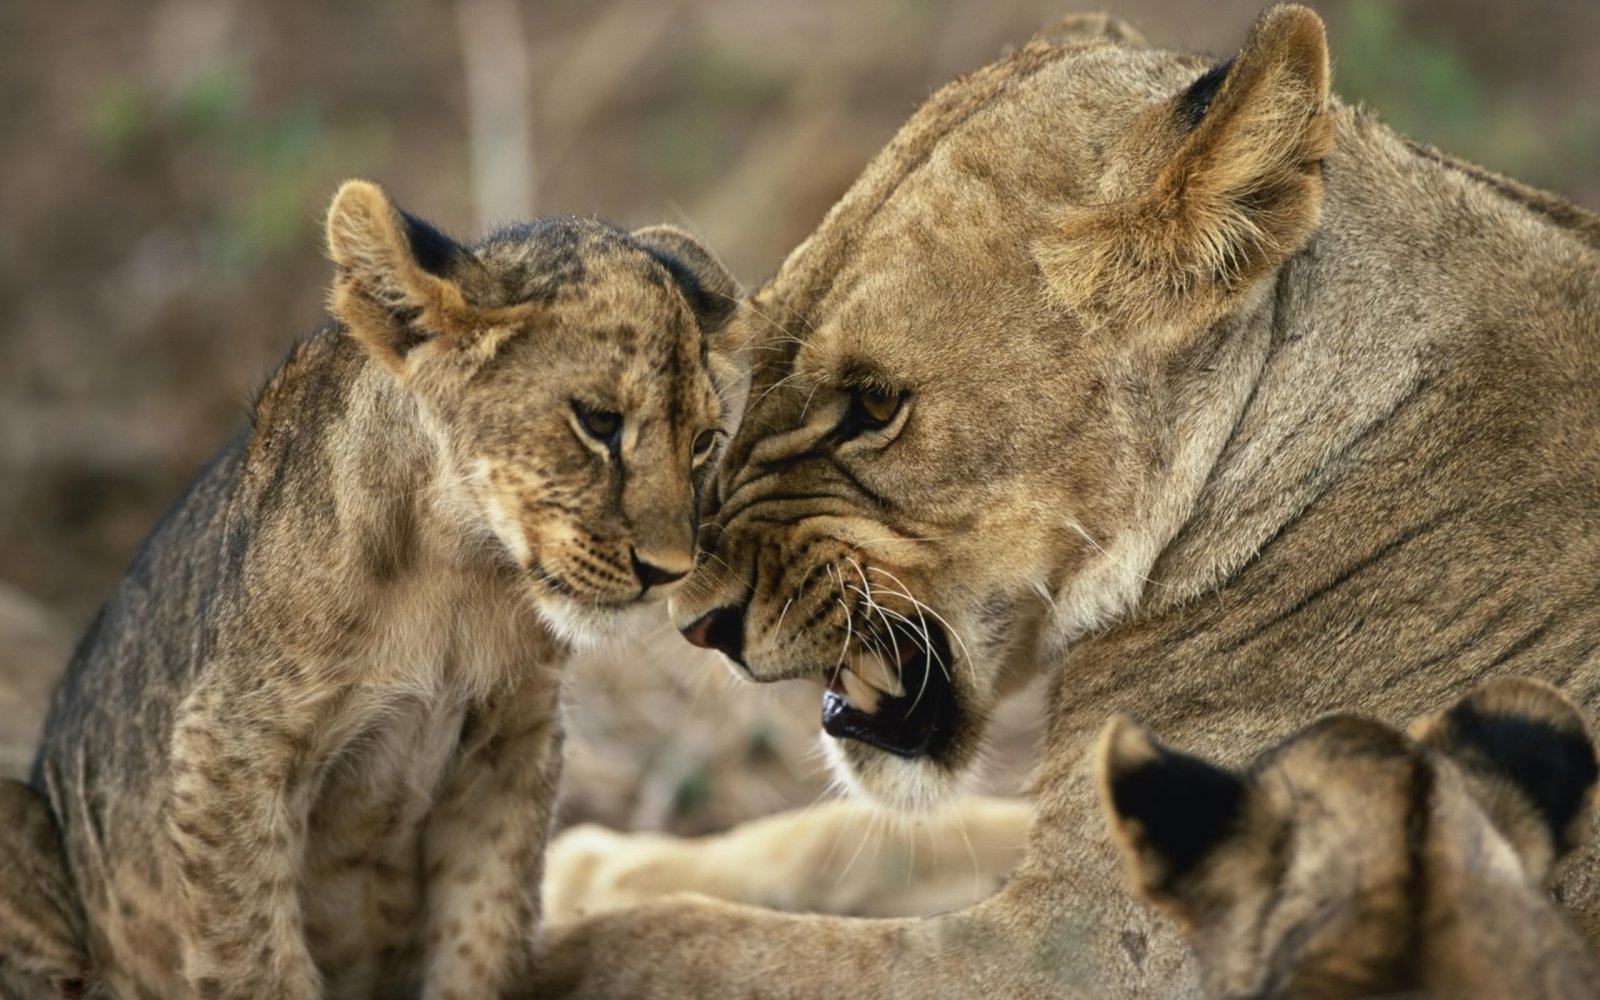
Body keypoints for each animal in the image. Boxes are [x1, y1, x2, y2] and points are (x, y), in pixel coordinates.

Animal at [0, 180, 747, 999]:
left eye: (704, 442)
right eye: (599, 422)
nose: (669, 570)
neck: (459, 570)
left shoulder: (511, 747)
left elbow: (481, 938)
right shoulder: (227, 747)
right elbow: (257, 958)